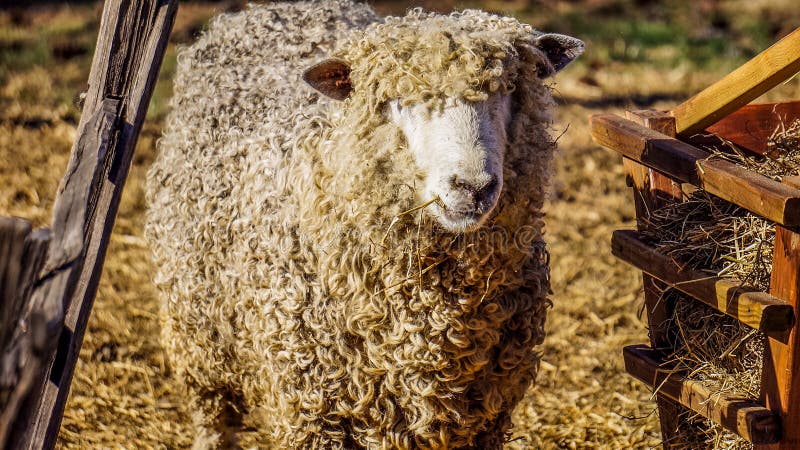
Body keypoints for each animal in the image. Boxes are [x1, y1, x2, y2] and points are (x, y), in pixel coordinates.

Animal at [144, 1, 583, 448]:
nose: (473, 187)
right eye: (399, 101)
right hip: (196, 333)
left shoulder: (487, 414)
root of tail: (269, 11)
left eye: (508, 91)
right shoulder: (312, 405)